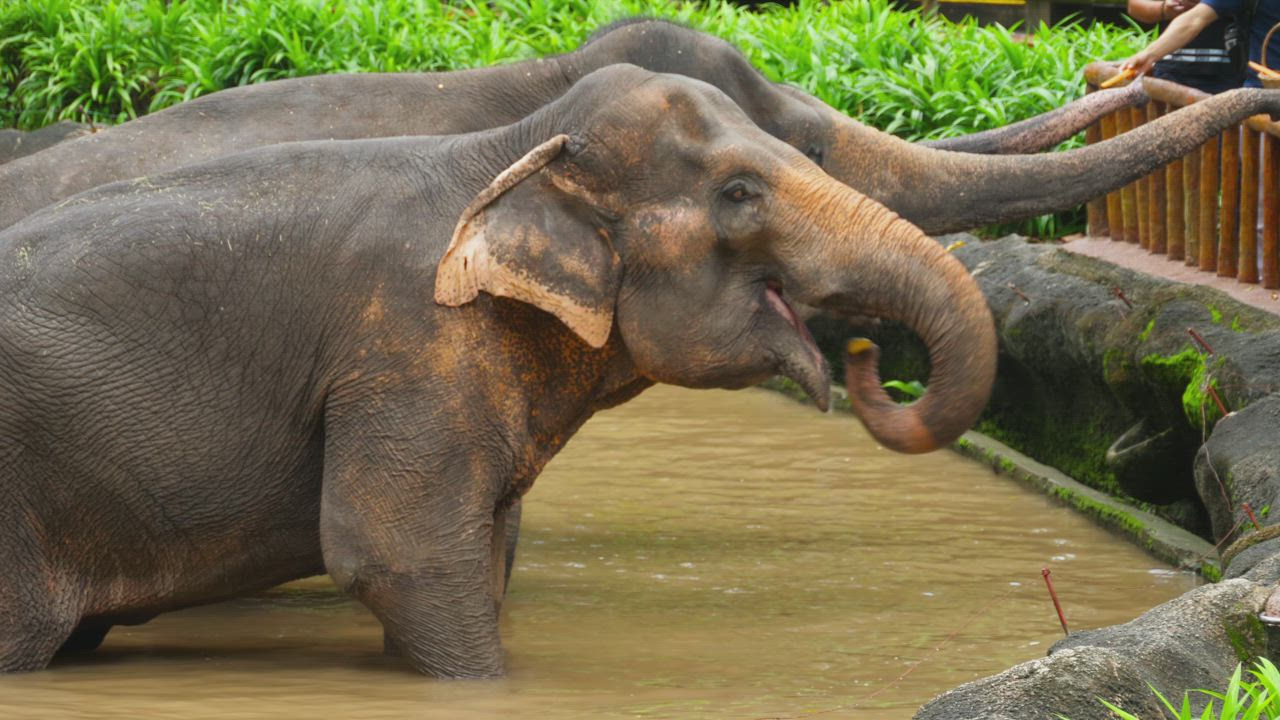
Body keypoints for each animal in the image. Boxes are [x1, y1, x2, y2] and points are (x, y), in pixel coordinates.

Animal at [0, 64, 996, 677]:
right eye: (740, 193)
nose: (868, 358)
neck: (508, 147)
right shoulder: (406, 353)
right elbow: (392, 556)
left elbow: (482, 552)